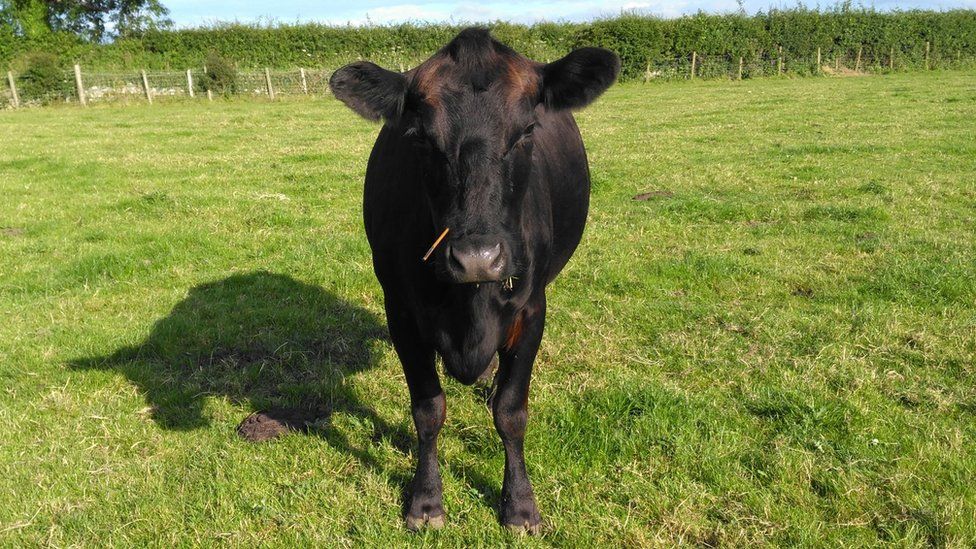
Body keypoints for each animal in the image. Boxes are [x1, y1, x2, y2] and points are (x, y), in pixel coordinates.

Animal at [329, 28, 619, 532]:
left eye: (527, 131)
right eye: (420, 137)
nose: (478, 258)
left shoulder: (532, 310)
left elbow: (511, 412)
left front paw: (520, 505)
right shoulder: (400, 311)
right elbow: (428, 409)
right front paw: (426, 501)